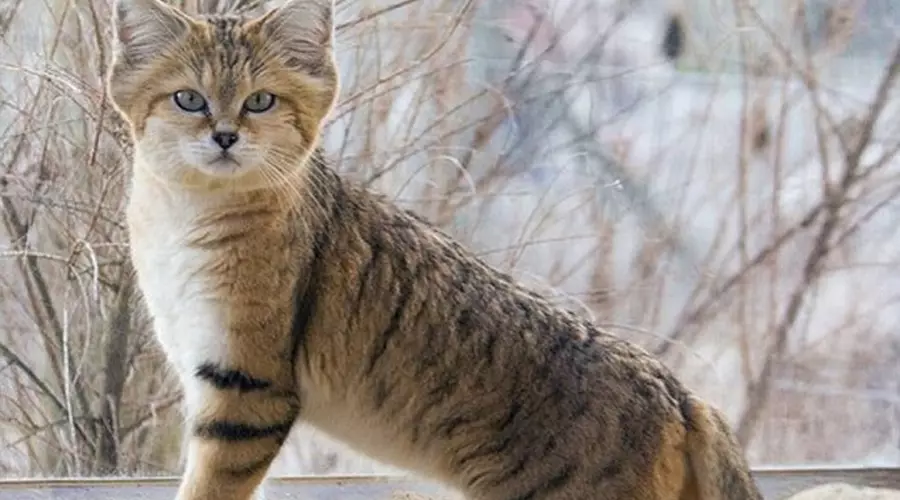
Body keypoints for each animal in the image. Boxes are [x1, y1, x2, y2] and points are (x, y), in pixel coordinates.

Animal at [109, 0, 764, 500]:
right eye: (189, 100)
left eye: (261, 101)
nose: (224, 135)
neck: (185, 217)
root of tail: (681, 395)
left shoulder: (244, 389)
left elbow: (208, 486)